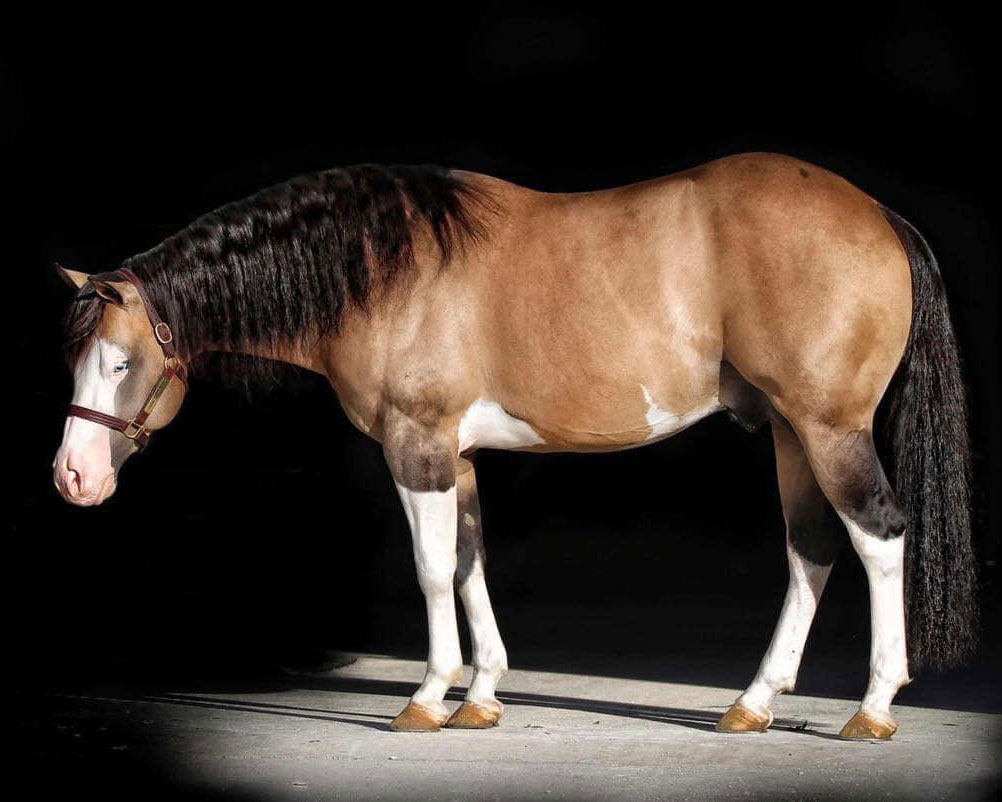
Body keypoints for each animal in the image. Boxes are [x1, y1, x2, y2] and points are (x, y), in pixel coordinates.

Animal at [52, 152, 977, 740]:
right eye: (75, 358)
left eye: (123, 362)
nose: (73, 477)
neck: (384, 270)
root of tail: (879, 215)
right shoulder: (456, 456)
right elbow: (470, 562)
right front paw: (483, 695)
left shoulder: (418, 448)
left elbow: (432, 571)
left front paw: (428, 696)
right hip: (789, 433)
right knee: (812, 549)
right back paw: (754, 701)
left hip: (828, 429)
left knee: (878, 536)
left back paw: (874, 708)